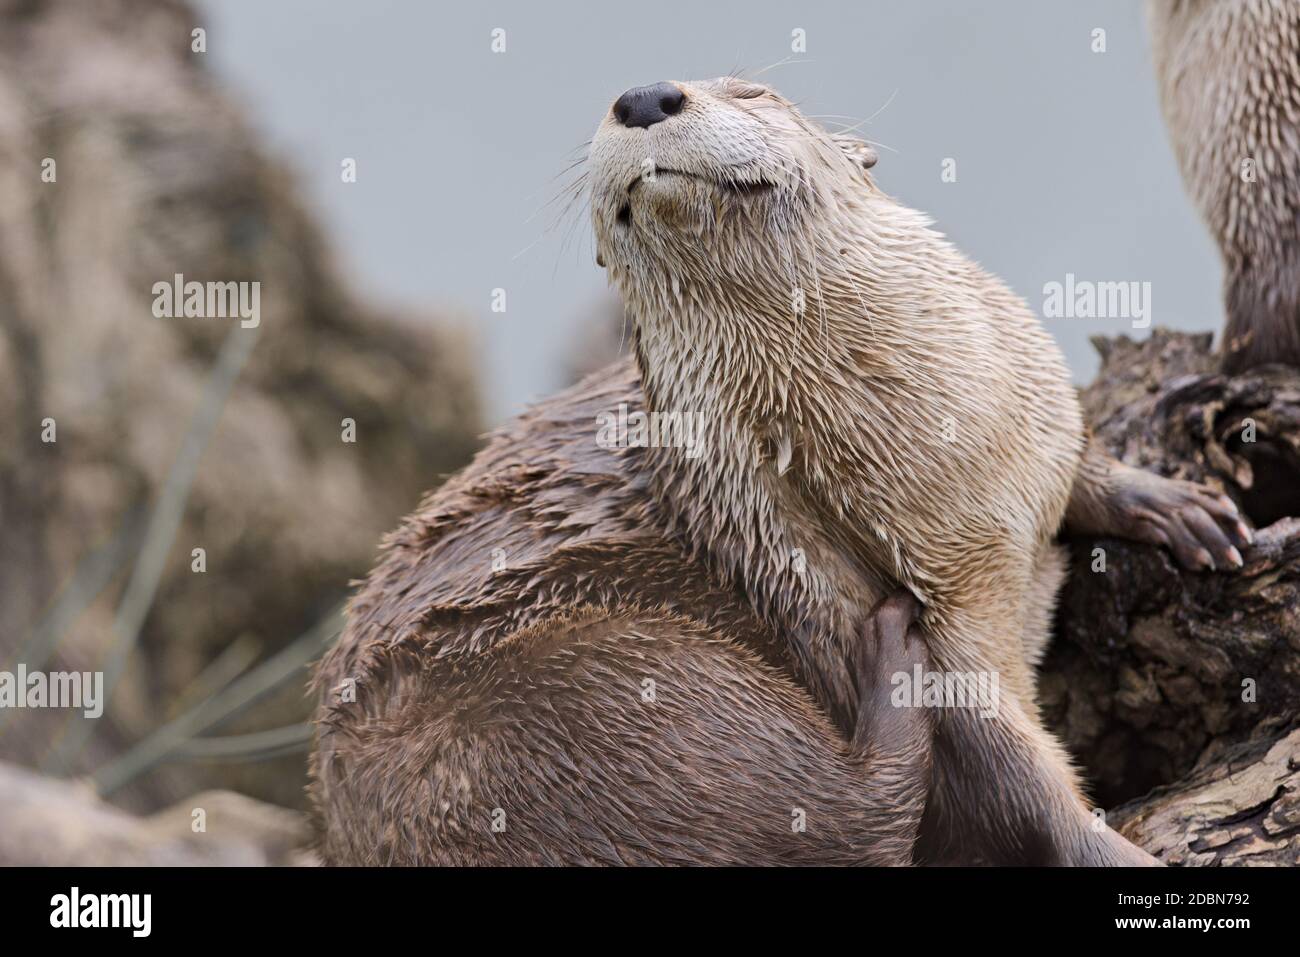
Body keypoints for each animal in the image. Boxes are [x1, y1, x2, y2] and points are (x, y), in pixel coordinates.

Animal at [311, 78, 1250, 866]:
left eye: (752, 90)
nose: (643, 94)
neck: (966, 485)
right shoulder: (807, 571)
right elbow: (1006, 776)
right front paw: (1115, 852)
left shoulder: (1033, 408)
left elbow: (1079, 453)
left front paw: (1172, 504)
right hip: (609, 698)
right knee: (838, 813)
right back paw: (888, 668)